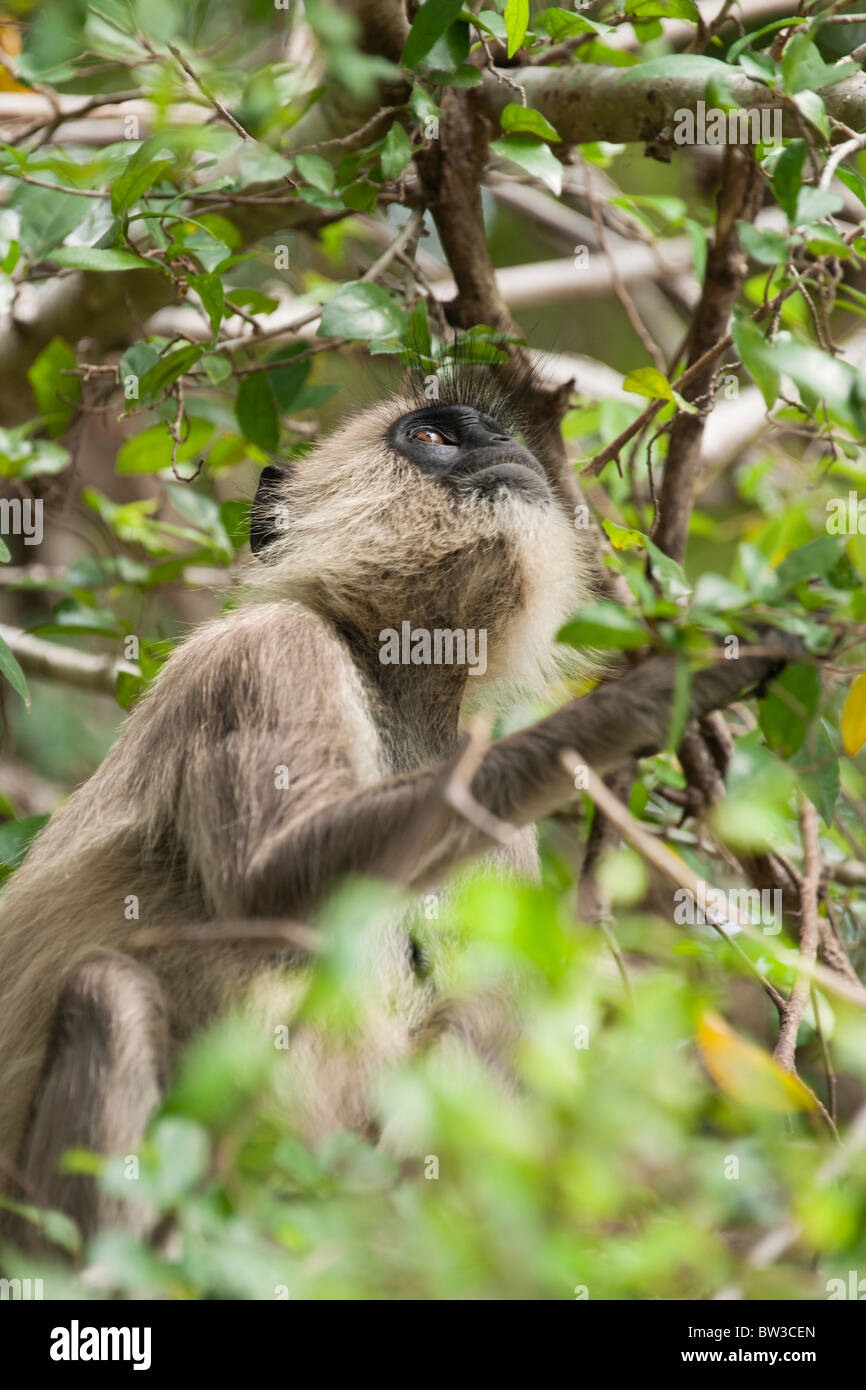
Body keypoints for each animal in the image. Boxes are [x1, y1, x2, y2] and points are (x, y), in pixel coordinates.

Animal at [0, 364, 793, 1245]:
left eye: (489, 433)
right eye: (433, 437)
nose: (503, 444)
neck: (399, 684)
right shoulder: (267, 653)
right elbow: (267, 887)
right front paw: (629, 708)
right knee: (110, 993)